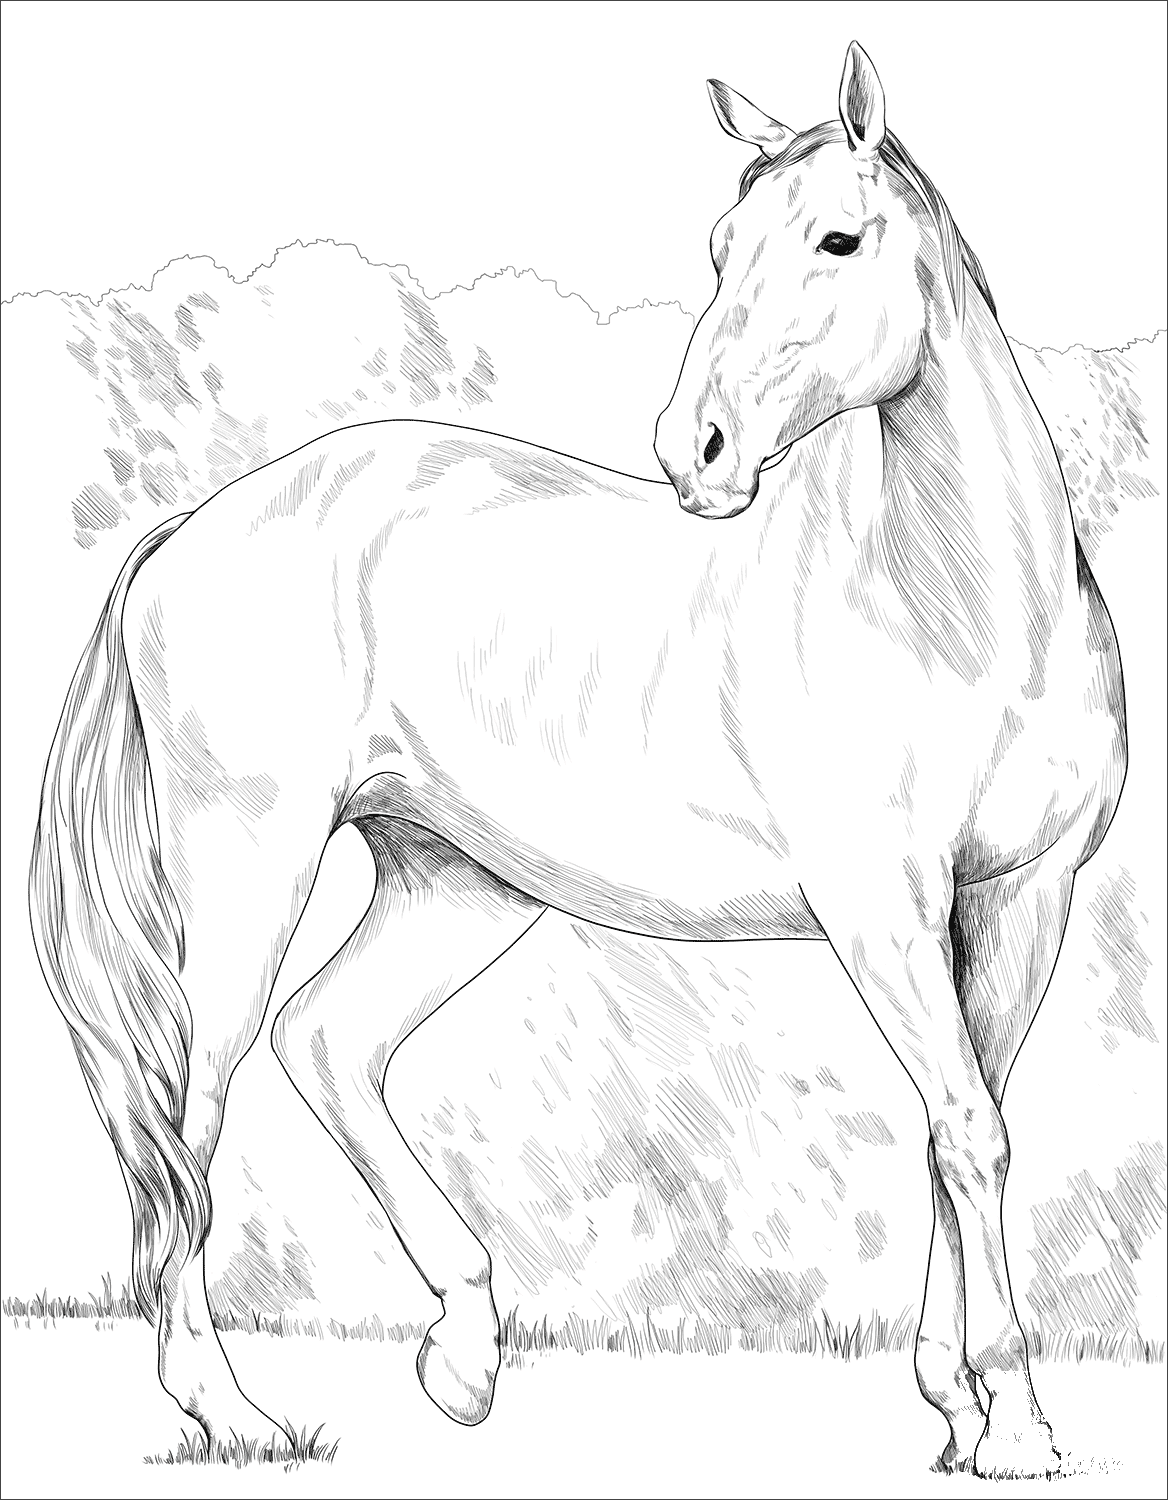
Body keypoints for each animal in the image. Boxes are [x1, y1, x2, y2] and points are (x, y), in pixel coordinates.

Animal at [30, 41, 1126, 1477]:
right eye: (721, 247)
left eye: (838, 239)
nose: (694, 453)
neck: (954, 610)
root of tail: (187, 531)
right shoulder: (879, 905)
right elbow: (968, 1130)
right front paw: (1016, 1423)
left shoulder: (1019, 900)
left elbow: (970, 1128)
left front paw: (957, 1405)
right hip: (248, 867)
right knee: (186, 1124)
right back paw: (236, 1412)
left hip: (455, 880)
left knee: (328, 1038)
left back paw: (464, 1349)